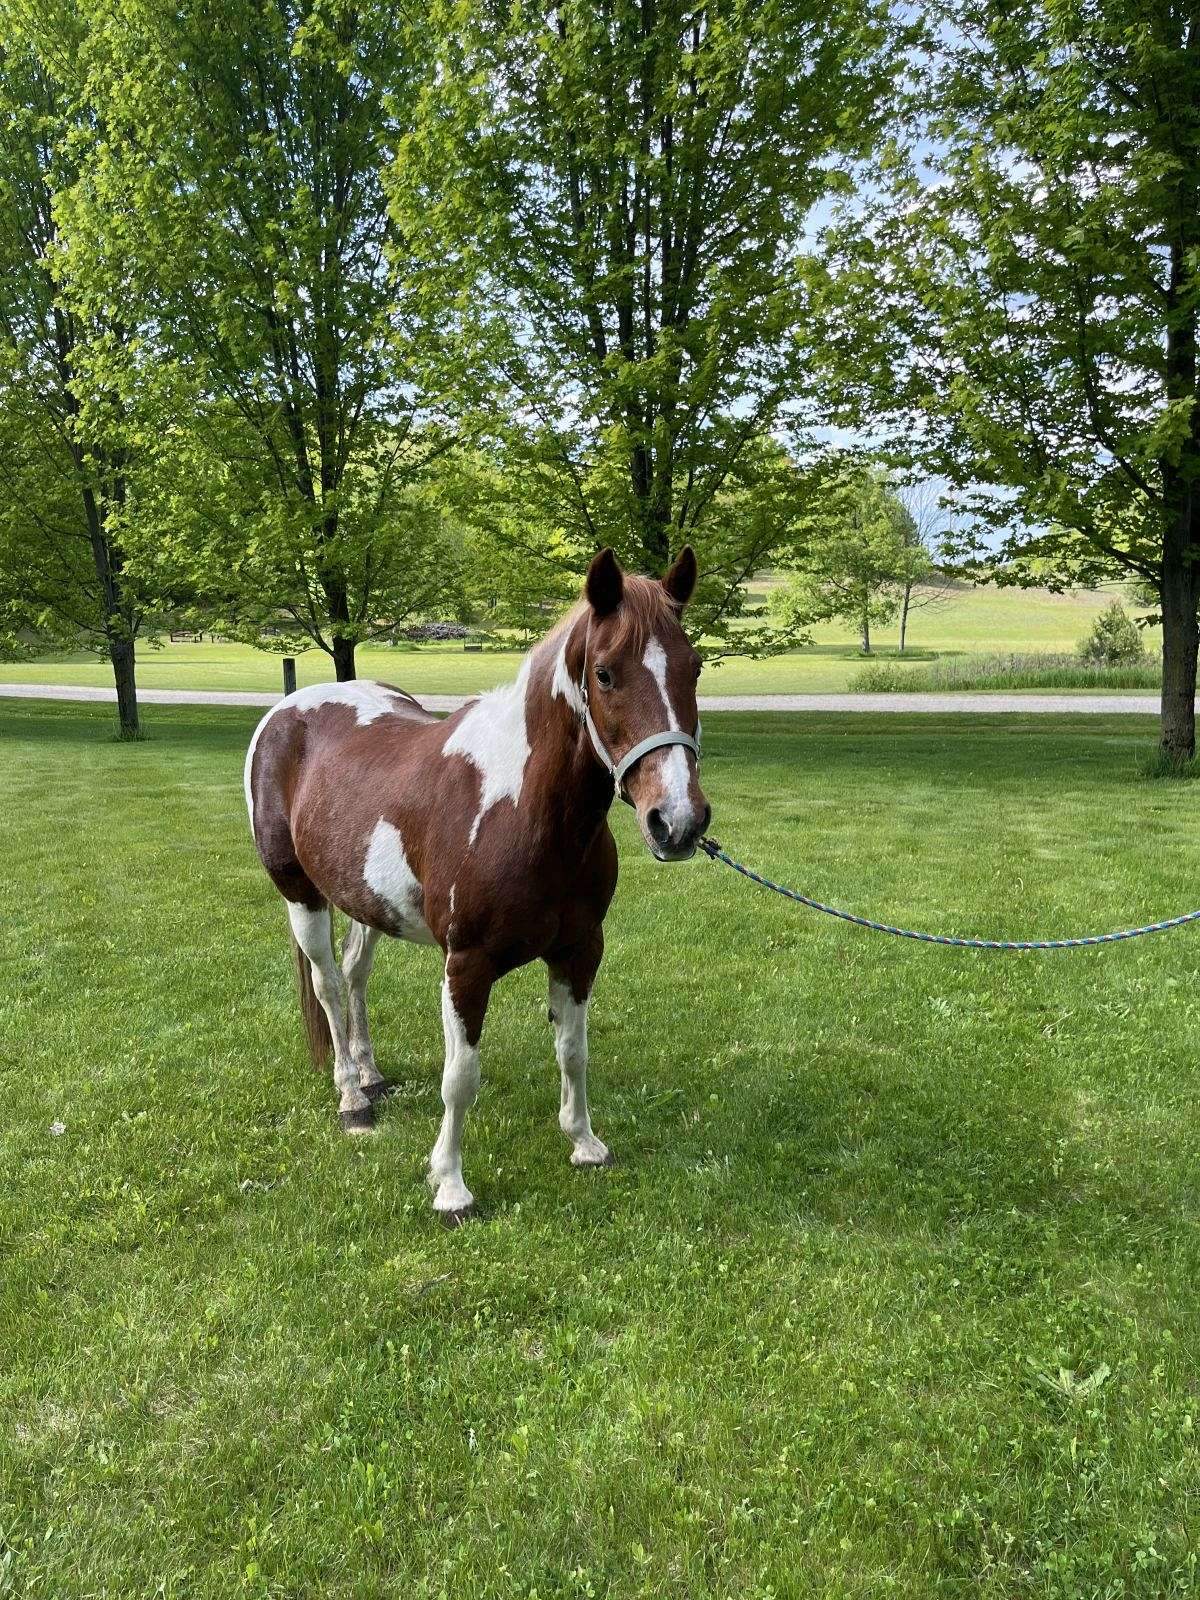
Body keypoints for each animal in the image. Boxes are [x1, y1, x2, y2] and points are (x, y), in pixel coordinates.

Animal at [243, 545, 711, 1223]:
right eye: (604, 674)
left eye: (694, 667)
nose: (677, 821)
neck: (521, 811)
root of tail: (289, 709)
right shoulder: (465, 964)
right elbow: (460, 1076)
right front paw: (451, 1186)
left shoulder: (579, 950)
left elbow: (573, 1050)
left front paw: (584, 1143)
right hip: (301, 895)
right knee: (329, 985)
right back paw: (353, 1099)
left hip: (365, 899)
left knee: (355, 974)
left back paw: (370, 1074)